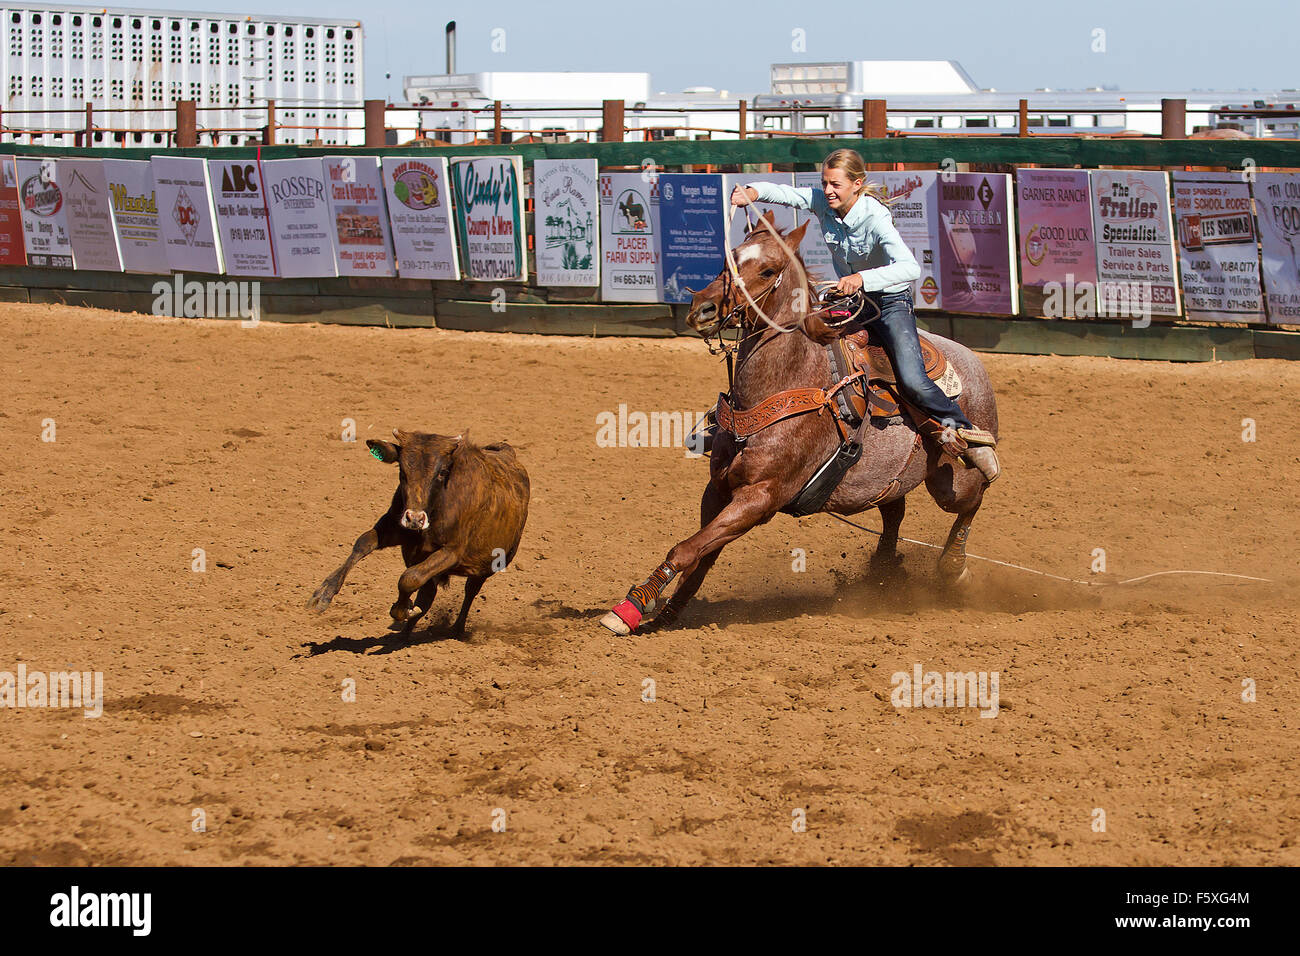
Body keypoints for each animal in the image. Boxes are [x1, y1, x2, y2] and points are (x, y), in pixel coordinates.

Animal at [307, 428, 530, 639]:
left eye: (442, 472)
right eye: (402, 470)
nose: (414, 518)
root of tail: (508, 453)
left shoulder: (452, 552)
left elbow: (409, 578)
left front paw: (402, 609)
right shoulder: (393, 528)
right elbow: (362, 543)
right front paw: (322, 595)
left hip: (488, 565)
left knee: (469, 592)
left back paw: (456, 629)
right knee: (429, 593)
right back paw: (404, 634)